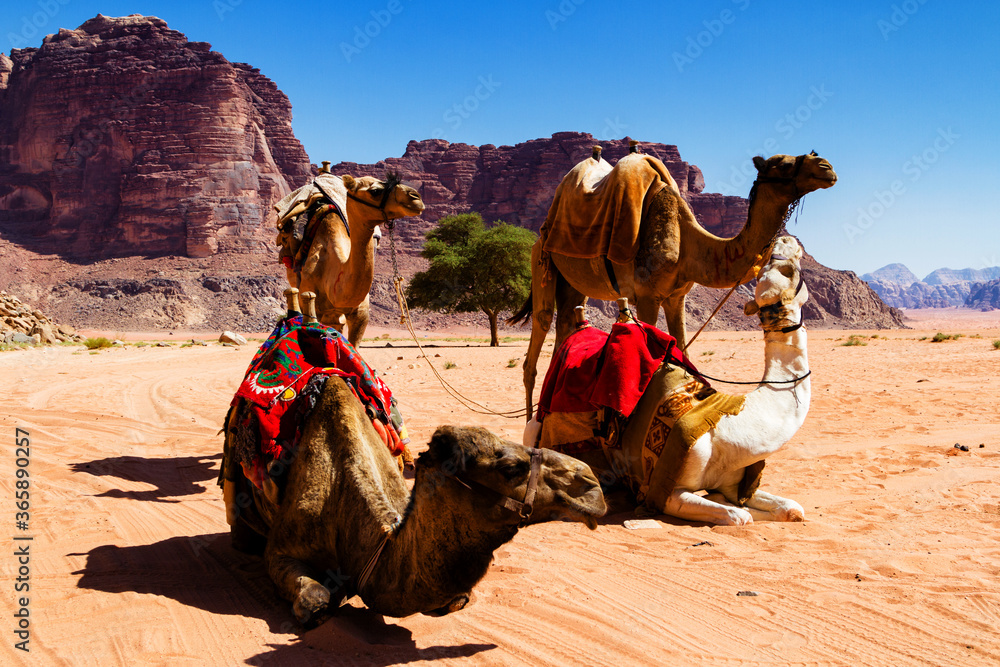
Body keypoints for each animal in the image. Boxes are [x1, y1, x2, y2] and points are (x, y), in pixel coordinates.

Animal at [510, 152, 836, 418]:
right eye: (783, 163)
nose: (827, 167)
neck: (689, 242)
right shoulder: (647, 296)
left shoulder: (676, 296)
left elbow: (685, 354)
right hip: (542, 260)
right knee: (537, 338)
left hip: (574, 283)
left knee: (565, 327)